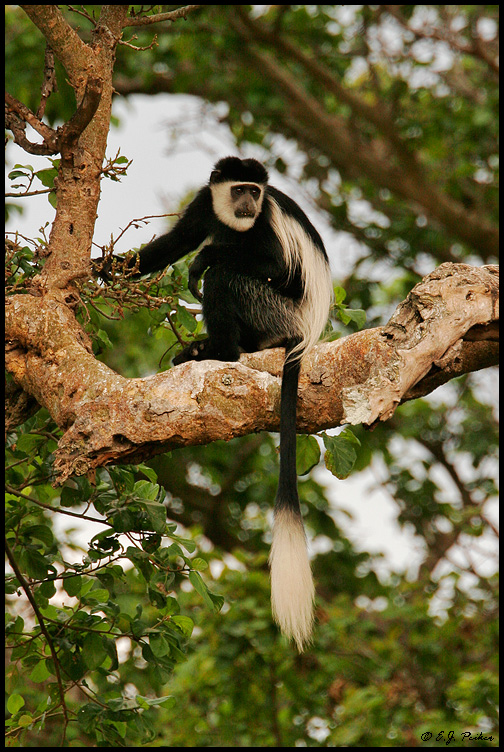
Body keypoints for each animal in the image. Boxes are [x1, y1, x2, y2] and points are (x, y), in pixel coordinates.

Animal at [102, 157, 333, 650]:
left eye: (254, 191)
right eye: (237, 189)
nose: (247, 202)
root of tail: (302, 334)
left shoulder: (266, 222)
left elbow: (270, 263)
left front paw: (201, 262)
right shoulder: (203, 204)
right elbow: (175, 242)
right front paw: (103, 267)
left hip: (274, 310)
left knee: (228, 276)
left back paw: (221, 350)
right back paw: (203, 349)